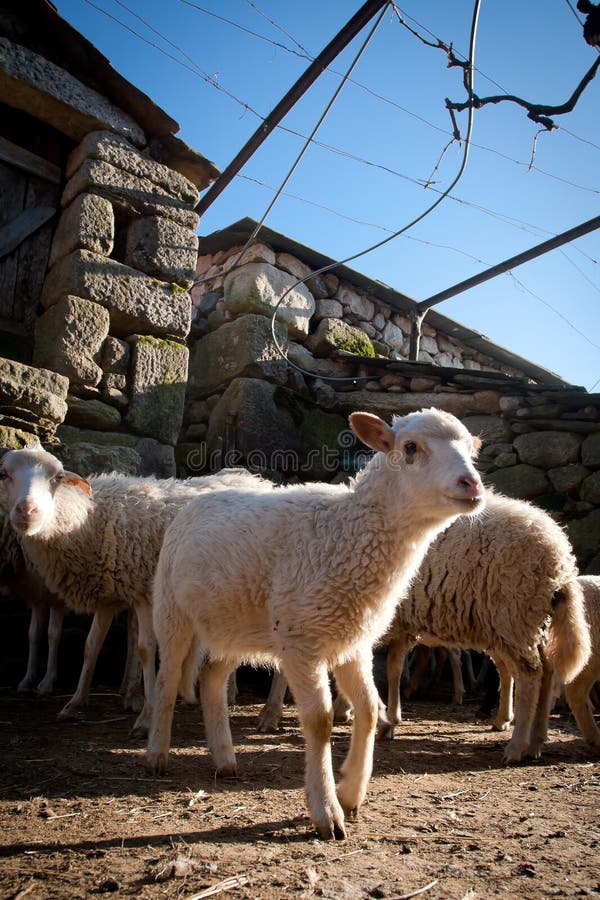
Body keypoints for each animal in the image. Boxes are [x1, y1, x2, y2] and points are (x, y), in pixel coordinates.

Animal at [0, 448, 268, 732]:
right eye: (5, 474)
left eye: (57, 477)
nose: (26, 510)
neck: (89, 518)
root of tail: (256, 480)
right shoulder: (108, 596)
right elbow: (91, 645)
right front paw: (75, 703)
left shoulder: (144, 595)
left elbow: (145, 650)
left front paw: (146, 717)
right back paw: (231, 692)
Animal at [147, 408, 485, 840]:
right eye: (410, 448)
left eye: (472, 450)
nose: (472, 484)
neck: (350, 532)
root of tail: (199, 498)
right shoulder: (300, 641)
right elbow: (321, 720)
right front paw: (326, 810)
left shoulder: (352, 640)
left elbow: (369, 709)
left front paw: (351, 792)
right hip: (172, 610)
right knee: (168, 678)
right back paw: (157, 754)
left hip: (234, 624)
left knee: (211, 678)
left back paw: (224, 758)